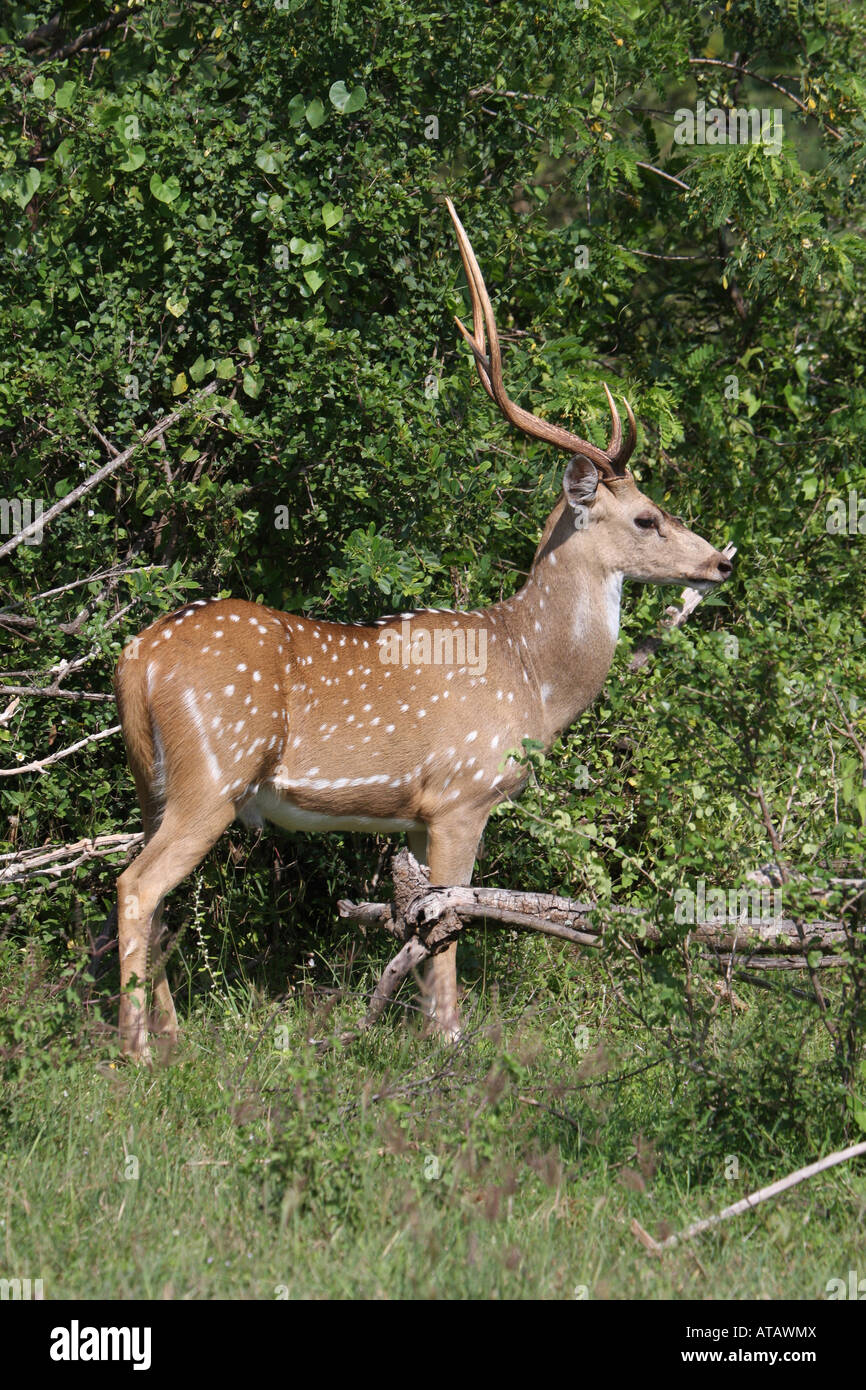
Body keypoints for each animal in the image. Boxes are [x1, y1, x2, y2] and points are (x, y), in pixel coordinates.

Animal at [114, 198, 732, 1061]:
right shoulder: (461, 792)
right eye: (648, 516)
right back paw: (137, 1051)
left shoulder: (408, 814)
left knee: (152, 890)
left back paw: (172, 1037)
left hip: (154, 780)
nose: (720, 562)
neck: (532, 676)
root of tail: (135, 659)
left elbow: (418, 920)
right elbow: (451, 922)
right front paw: (448, 1040)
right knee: (136, 885)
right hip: (216, 768)